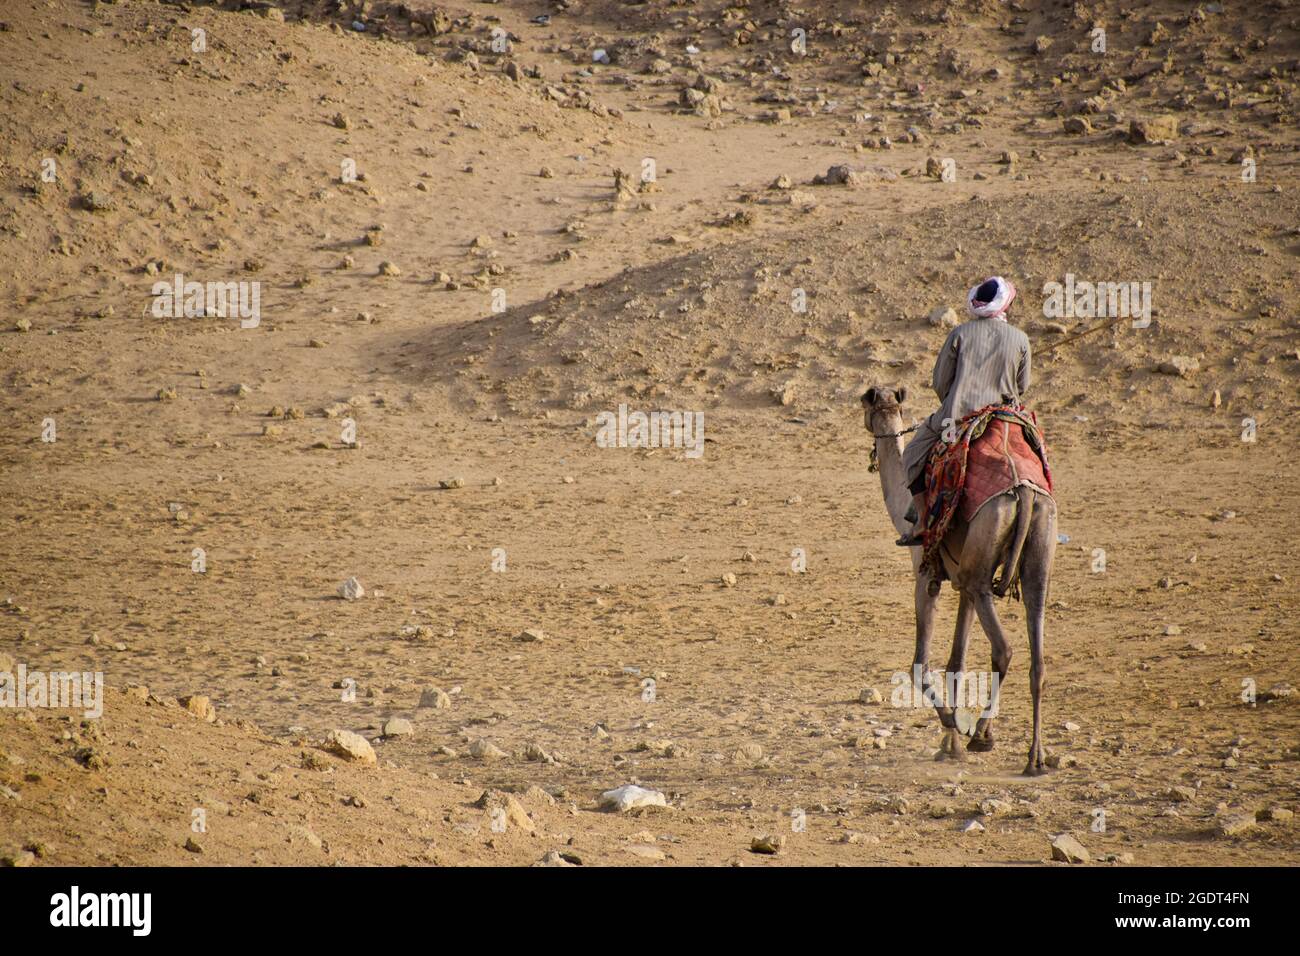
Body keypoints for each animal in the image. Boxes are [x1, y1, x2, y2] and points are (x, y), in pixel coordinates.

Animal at [861, 386, 1057, 775]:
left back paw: (981, 733)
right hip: (1033, 552)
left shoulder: (927, 574)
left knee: (1004, 649)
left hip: (980, 572)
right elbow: (956, 662)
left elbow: (921, 663)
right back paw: (1035, 757)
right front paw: (949, 746)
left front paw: (954, 726)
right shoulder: (960, 584)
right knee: (1038, 657)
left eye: (863, 400)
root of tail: (1025, 491)